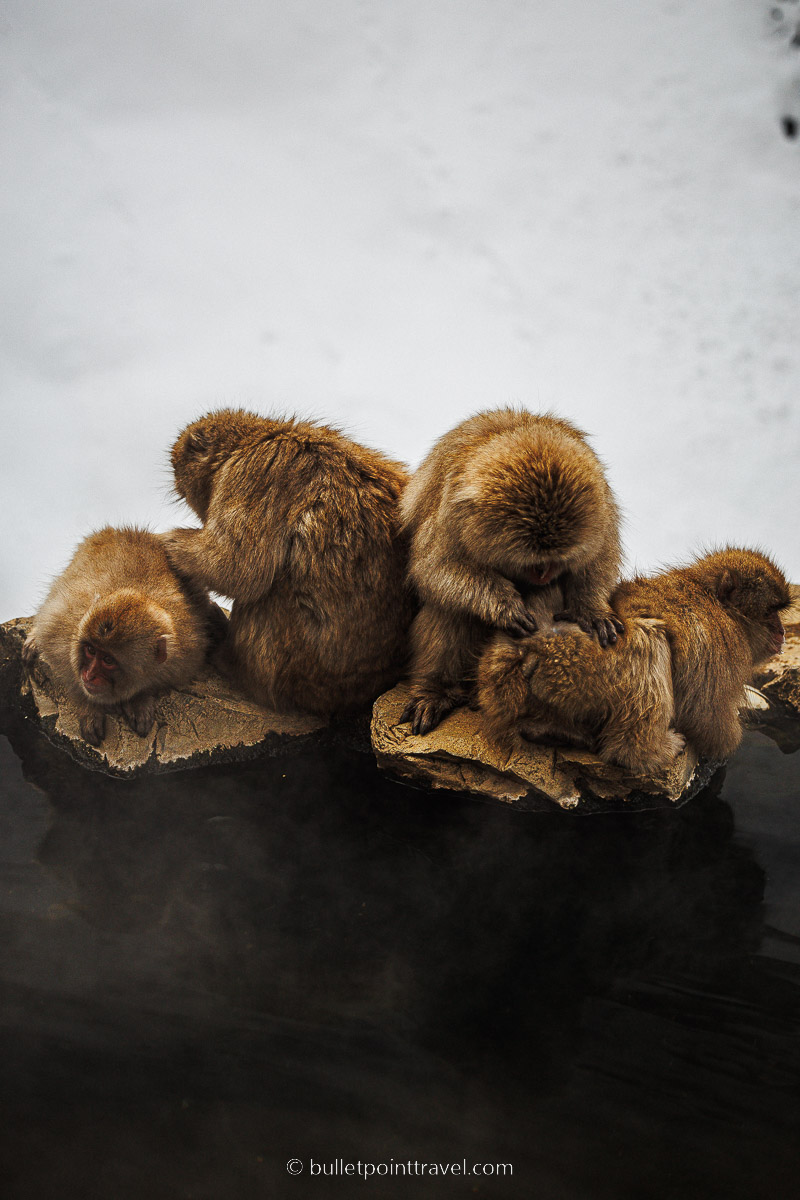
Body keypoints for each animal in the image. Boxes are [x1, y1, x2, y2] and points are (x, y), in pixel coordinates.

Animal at [22, 526, 214, 747]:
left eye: (108, 660)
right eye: (90, 650)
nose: (89, 676)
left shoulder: (185, 655)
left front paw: (139, 700)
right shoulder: (64, 628)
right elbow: (60, 660)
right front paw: (89, 706)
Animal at [161, 408, 415, 715]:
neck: (255, 437)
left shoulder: (255, 470)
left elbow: (236, 569)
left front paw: (166, 542)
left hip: (296, 671)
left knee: (272, 588)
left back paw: (232, 663)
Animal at [399, 407, 624, 735]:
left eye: (555, 559)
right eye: (531, 561)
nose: (543, 574)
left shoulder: (601, 507)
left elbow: (597, 558)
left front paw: (590, 609)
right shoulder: (451, 510)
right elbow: (434, 568)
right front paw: (504, 606)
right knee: (449, 607)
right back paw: (437, 690)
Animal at [476, 547, 791, 775]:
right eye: (770, 612)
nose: (782, 631)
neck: (715, 600)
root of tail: (531, 648)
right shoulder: (721, 644)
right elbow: (705, 713)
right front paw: (722, 746)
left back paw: (550, 730)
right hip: (576, 665)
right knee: (650, 640)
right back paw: (644, 753)